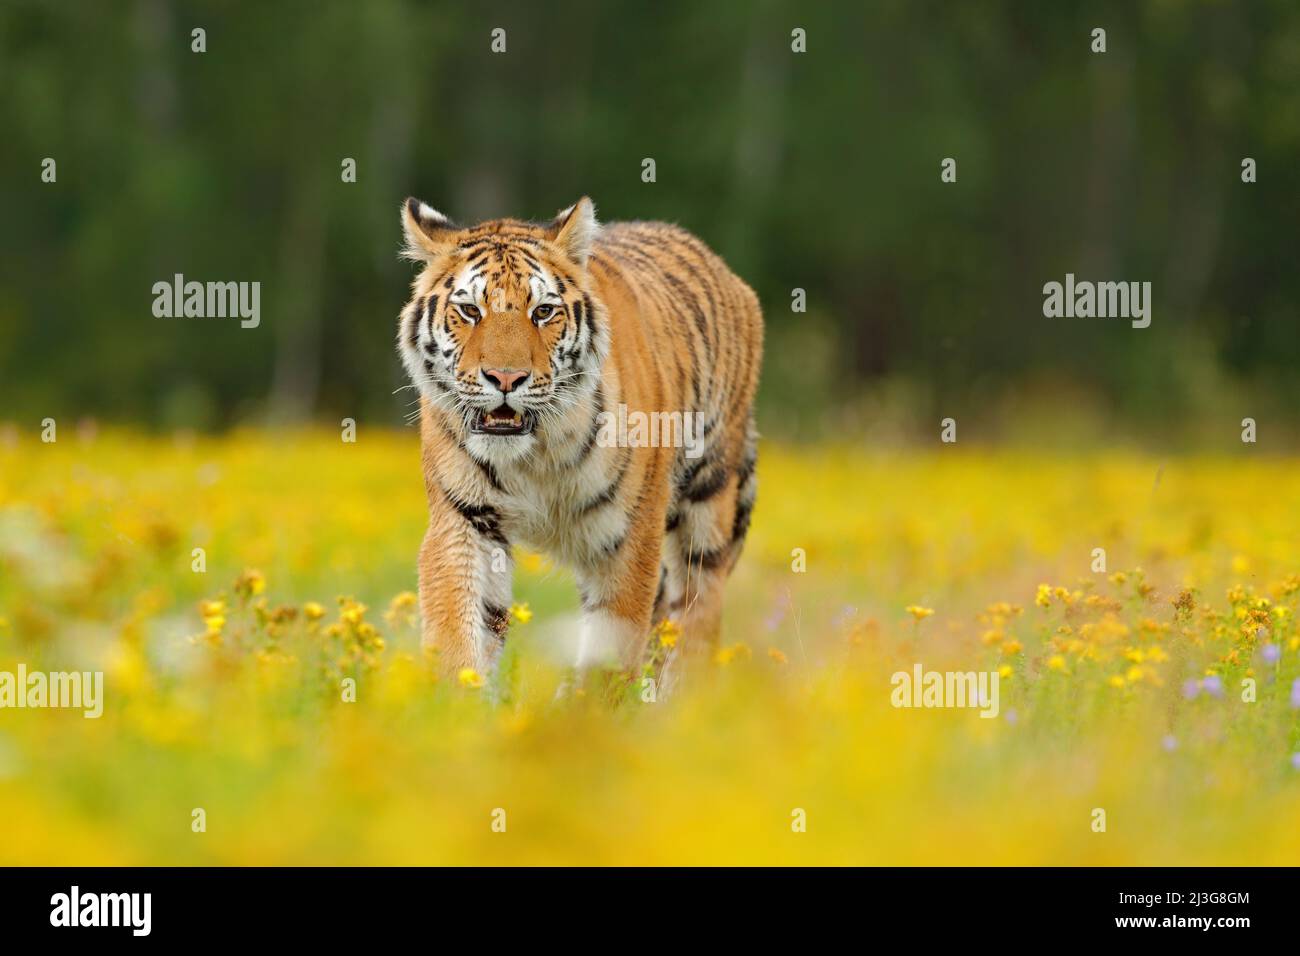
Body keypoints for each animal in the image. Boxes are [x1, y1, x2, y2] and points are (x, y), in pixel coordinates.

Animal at [396, 196, 763, 684]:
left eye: (543, 312)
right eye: (471, 311)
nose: (505, 378)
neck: (535, 452)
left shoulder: (631, 535)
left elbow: (609, 656)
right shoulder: (466, 520)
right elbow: (458, 629)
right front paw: (457, 699)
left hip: (706, 510)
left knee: (692, 624)